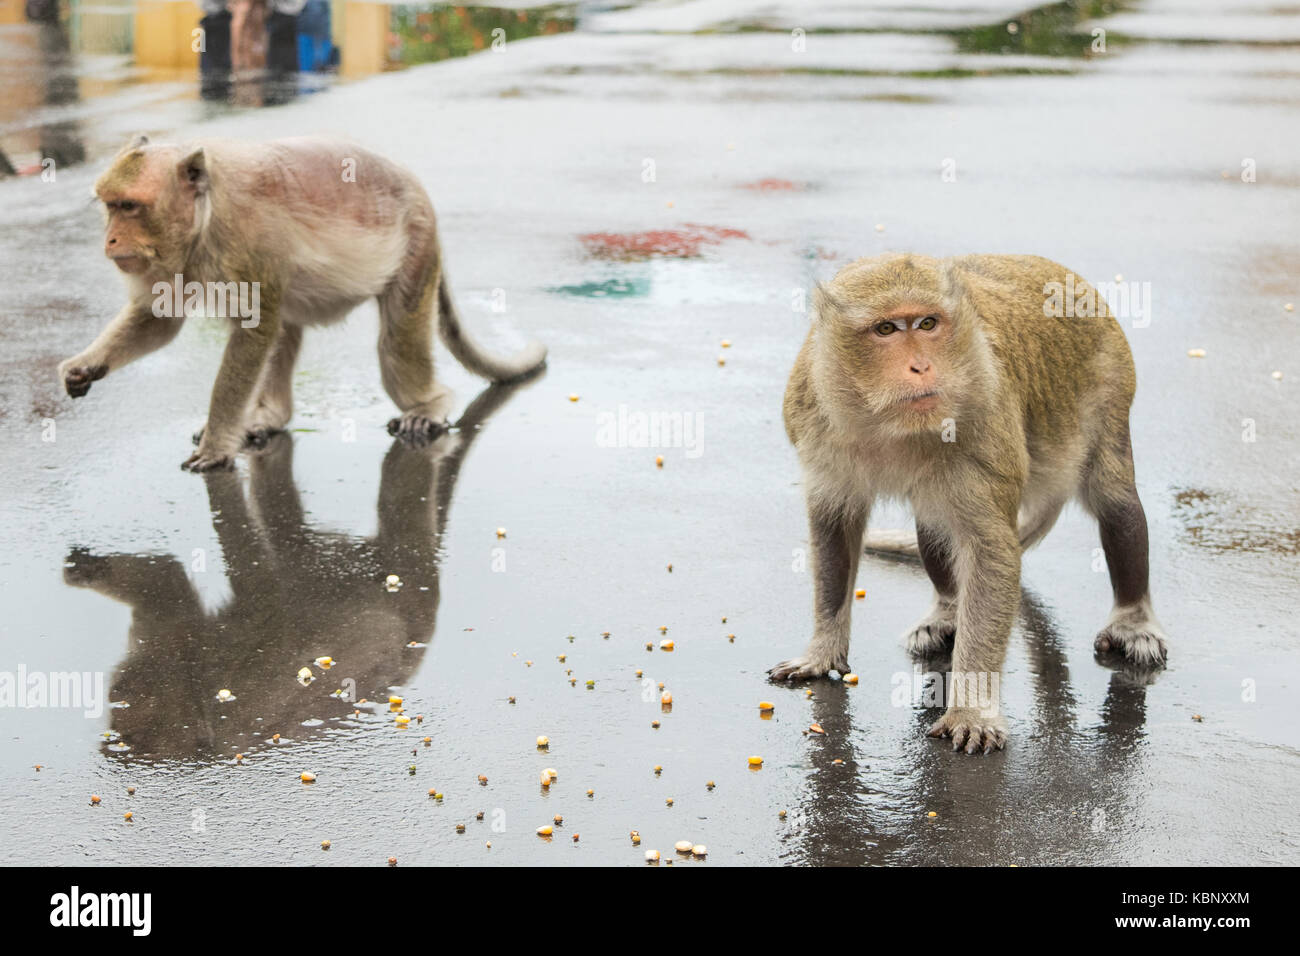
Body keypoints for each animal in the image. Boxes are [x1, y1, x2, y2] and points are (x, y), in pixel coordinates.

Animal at [59, 136, 548, 473]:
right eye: (110, 206)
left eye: (129, 206)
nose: (110, 239)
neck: (206, 216)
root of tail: (423, 196)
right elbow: (159, 320)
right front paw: (85, 365)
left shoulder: (249, 242)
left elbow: (253, 330)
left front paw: (216, 444)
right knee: (286, 326)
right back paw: (267, 417)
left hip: (417, 246)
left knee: (394, 339)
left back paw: (428, 405)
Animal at [769, 252, 1170, 754]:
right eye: (886, 329)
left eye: (927, 323)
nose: (921, 367)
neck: (887, 423)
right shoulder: (810, 416)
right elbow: (834, 529)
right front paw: (822, 651)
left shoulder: (985, 412)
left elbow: (990, 549)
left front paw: (972, 710)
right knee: (933, 523)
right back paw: (946, 611)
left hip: (1111, 378)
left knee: (1116, 502)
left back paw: (1133, 620)